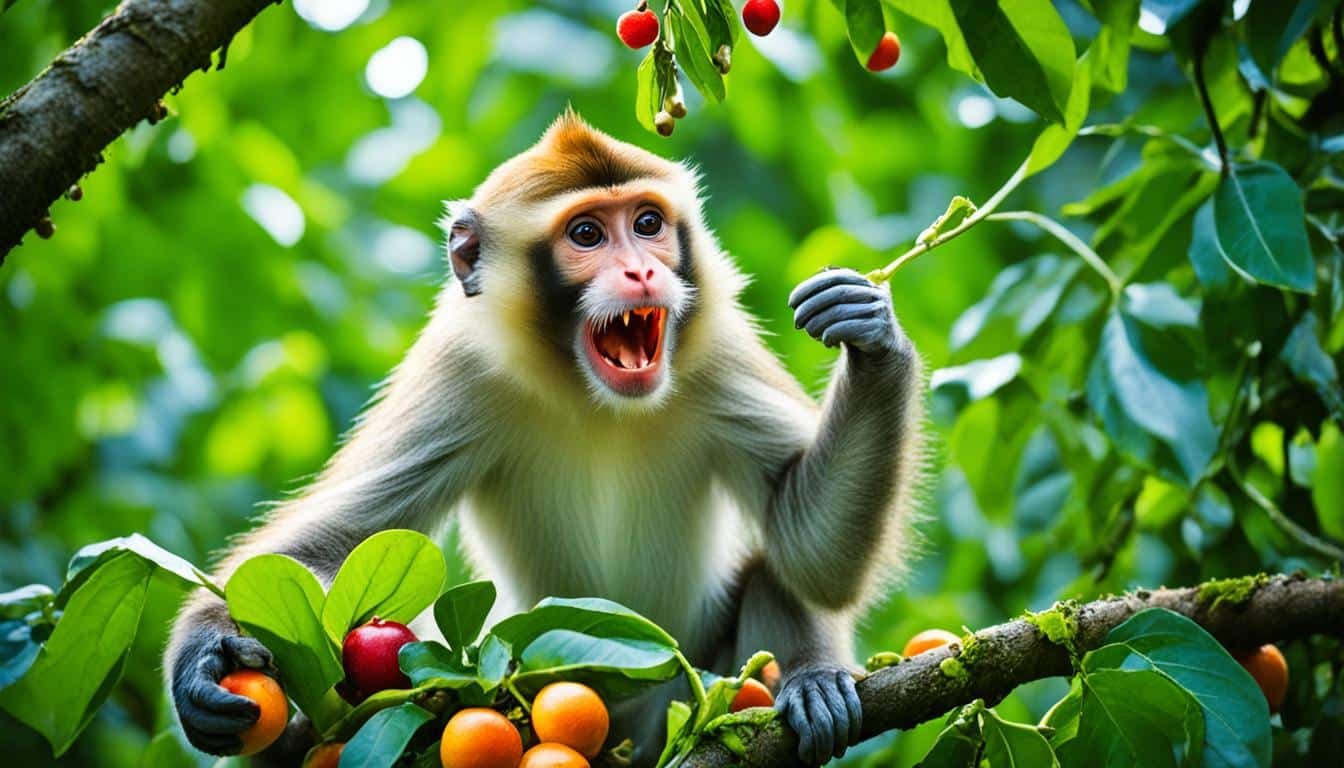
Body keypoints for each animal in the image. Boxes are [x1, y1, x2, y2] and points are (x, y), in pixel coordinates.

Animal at [165, 112, 924, 766]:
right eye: (586, 235)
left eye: (647, 223)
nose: (643, 271)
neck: (594, 397)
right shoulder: (459, 372)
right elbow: (321, 548)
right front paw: (205, 656)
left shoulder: (717, 352)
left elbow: (811, 553)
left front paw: (872, 341)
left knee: (773, 573)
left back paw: (810, 684)